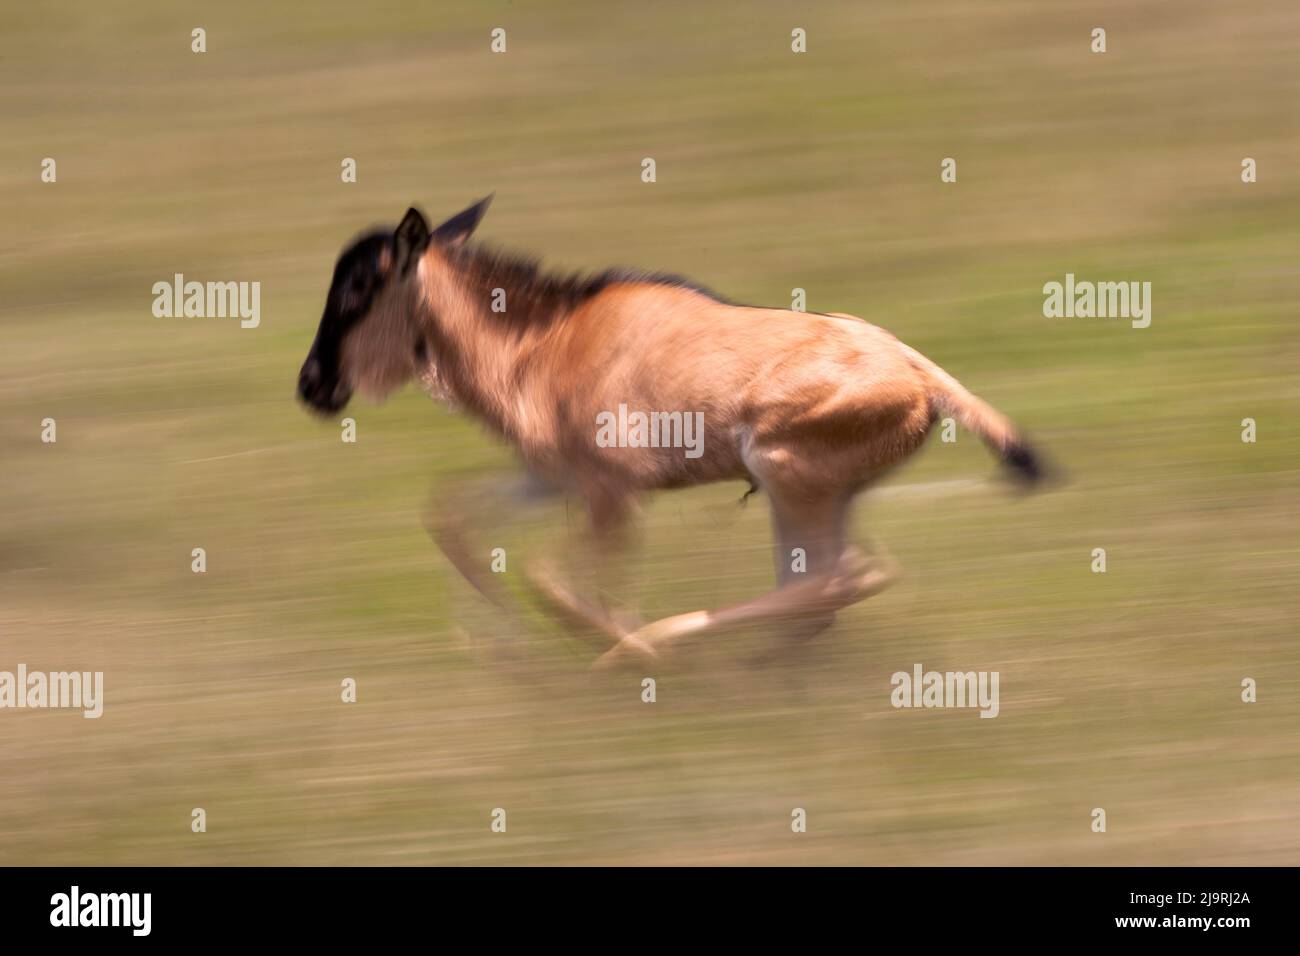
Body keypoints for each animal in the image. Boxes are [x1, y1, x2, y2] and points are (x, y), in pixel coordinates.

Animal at [297, 197, 1044, 668]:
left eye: (359, 286)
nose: (311, 386)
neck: (540, 344)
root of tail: (919, 372)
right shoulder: (549, 480)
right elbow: (449, 515)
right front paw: (500, 644)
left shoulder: (613, 495)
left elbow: (548, 573)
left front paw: (617, 651)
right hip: (812, 495)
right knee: (829, 585)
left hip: (783, 473)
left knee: (847, 575)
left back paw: (671, 655)